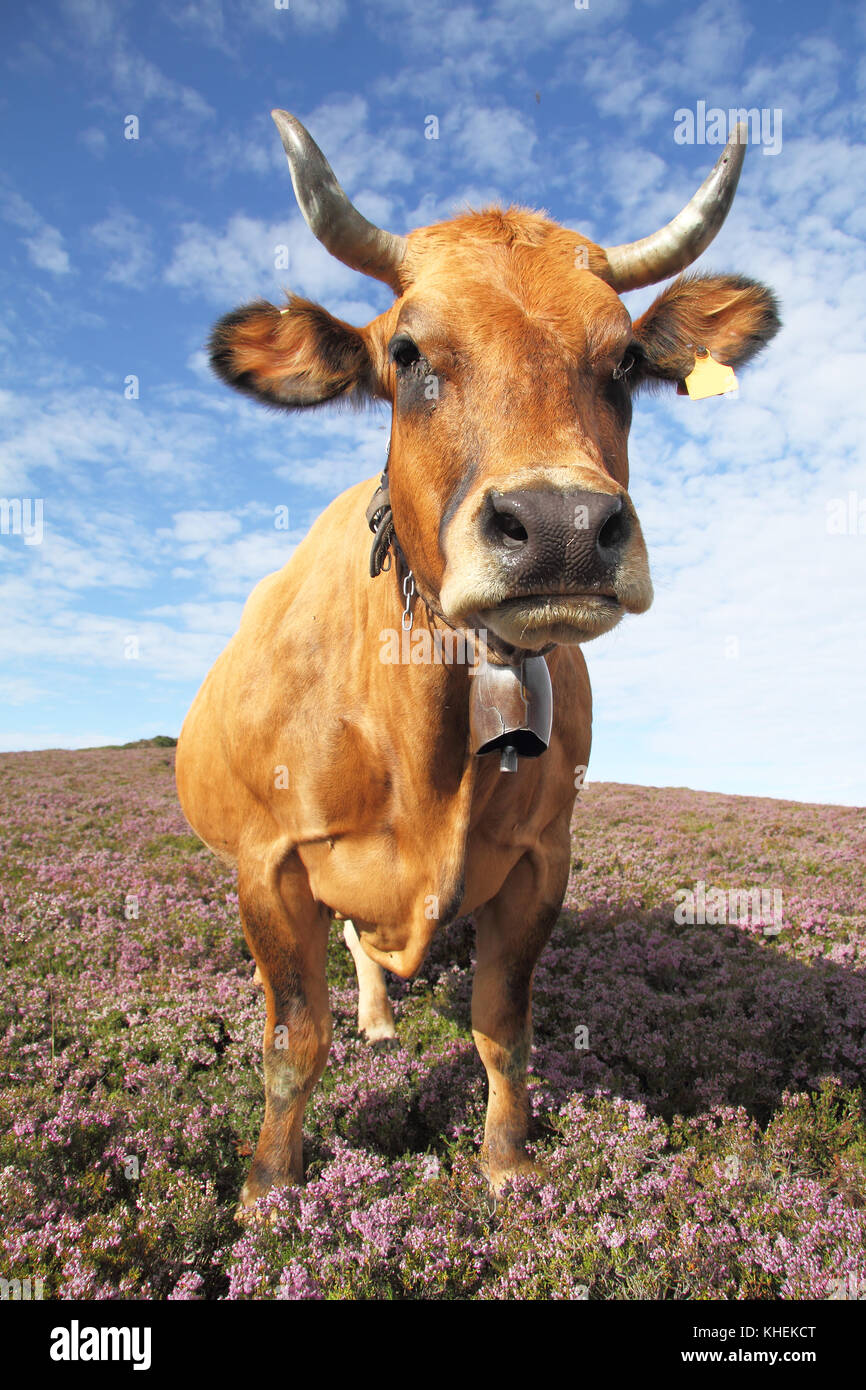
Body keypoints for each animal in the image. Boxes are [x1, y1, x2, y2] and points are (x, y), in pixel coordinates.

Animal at [176, 111, 780, 1213]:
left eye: (626, 359)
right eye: (407, 350)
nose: (562, 527)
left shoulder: (542, 857)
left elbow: (503, 1023)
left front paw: (507, 1162)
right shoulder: (268, 861)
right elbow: (293, 1039)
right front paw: (270, 1187)